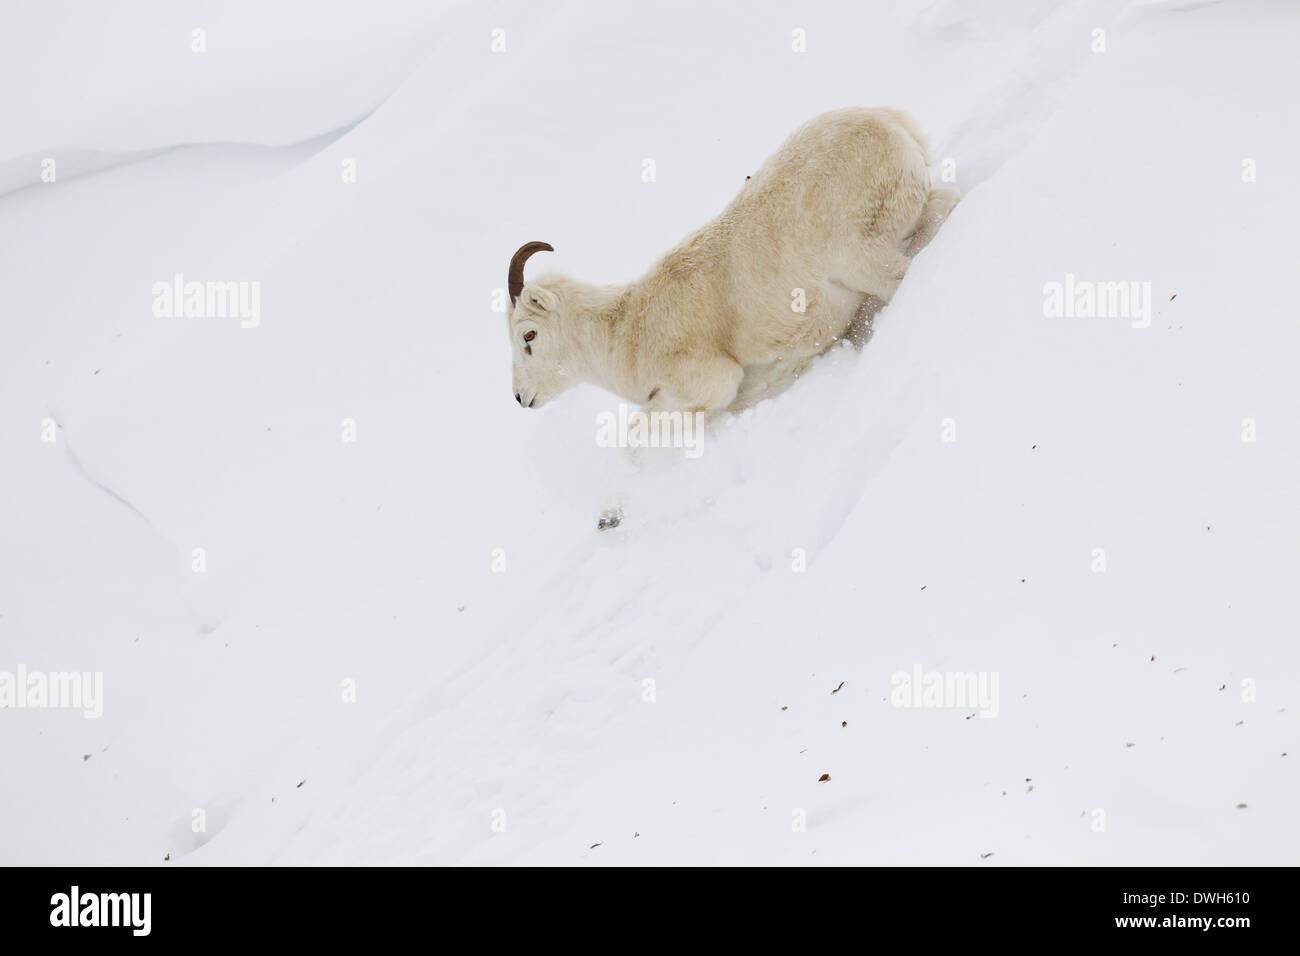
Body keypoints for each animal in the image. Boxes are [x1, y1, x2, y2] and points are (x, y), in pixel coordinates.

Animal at [504, 107, 959, 415]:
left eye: (529, 335)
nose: (521, 398)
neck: (627, 334)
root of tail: (888, 123)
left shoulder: (711, 386)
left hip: (862, 261)